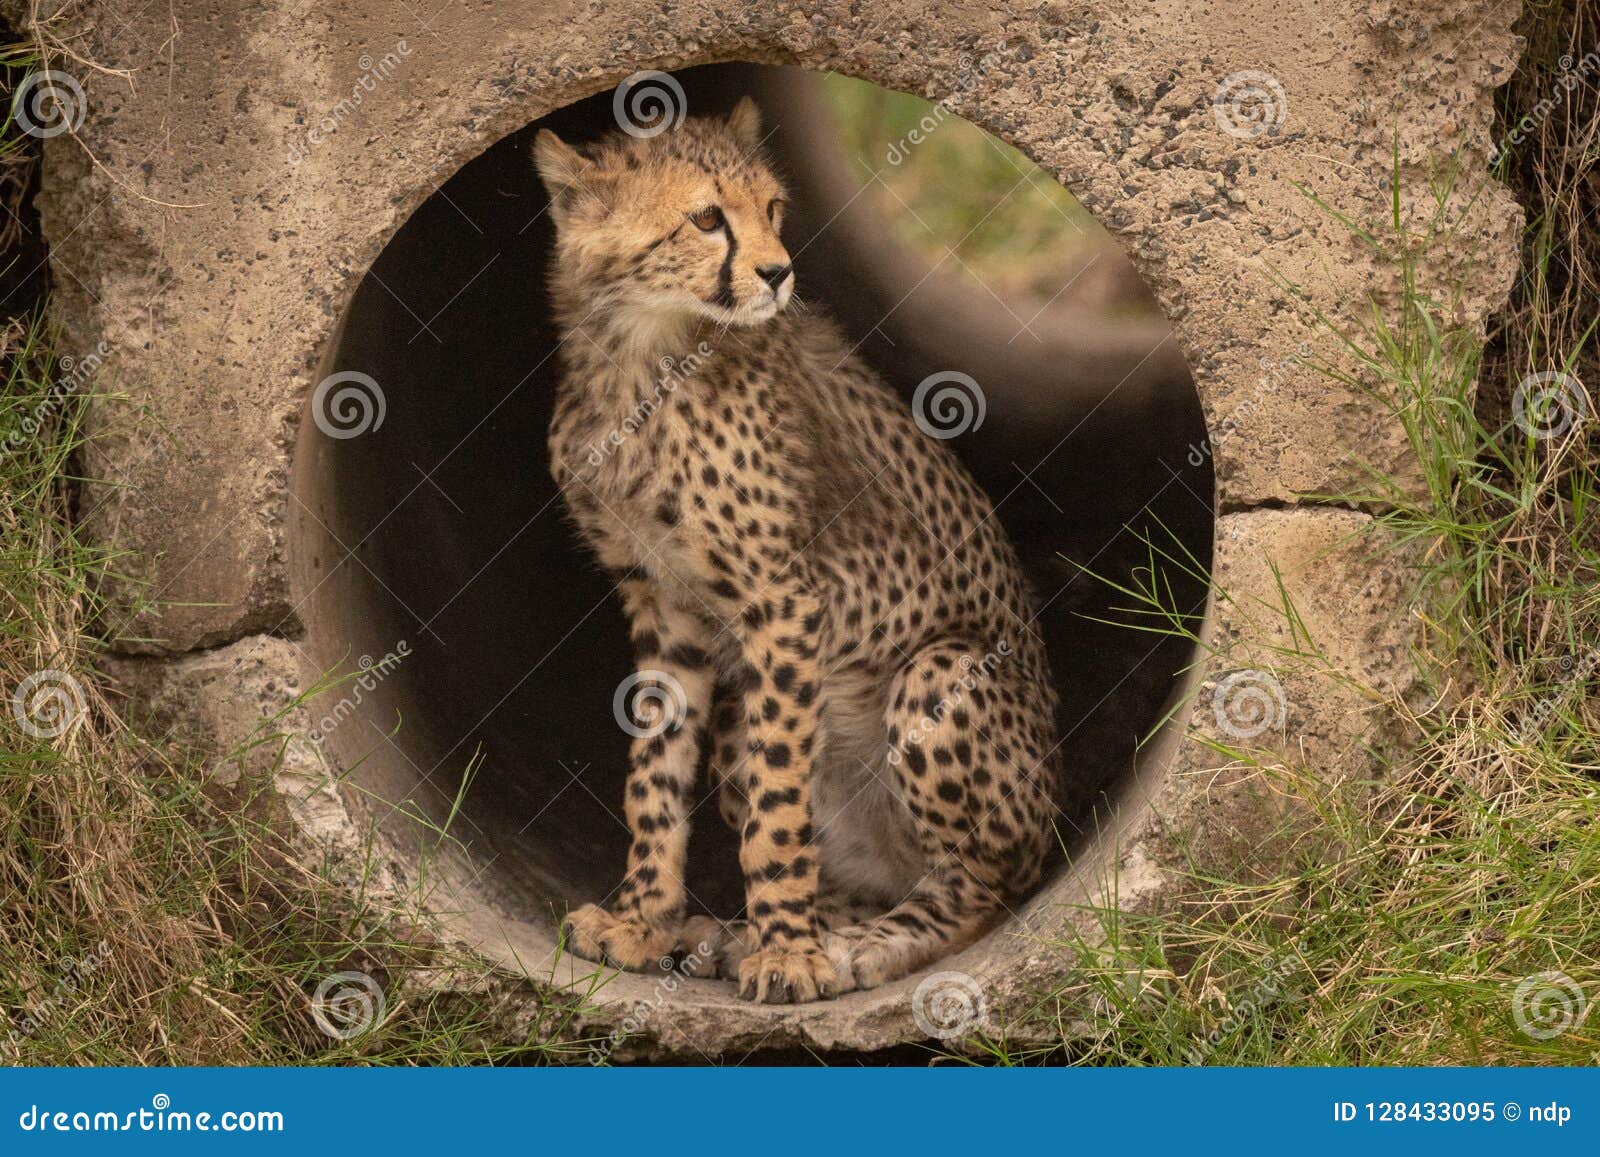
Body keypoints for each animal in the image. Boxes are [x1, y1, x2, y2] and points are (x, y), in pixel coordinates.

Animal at [535, 96, 1064, 1005]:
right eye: (707, 218)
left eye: (774, 209)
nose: (779, 272)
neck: (642, 354)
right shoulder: (664, 605)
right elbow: (654, 775)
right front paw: (642, 921)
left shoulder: (781, 601)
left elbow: (779, 811)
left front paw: (789, 956)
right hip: (745, 718)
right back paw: (746, 931)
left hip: (940, 676)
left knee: (981, 884)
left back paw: (857, 945)